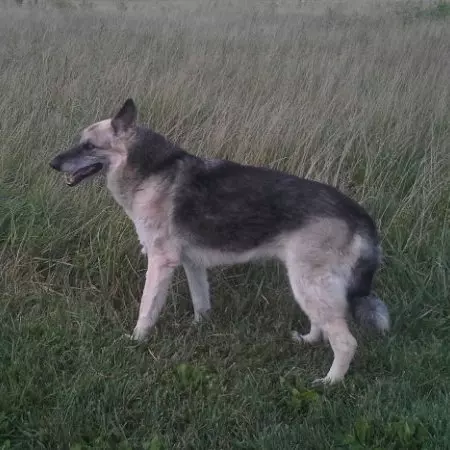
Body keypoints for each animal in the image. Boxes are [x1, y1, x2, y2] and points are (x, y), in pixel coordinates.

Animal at [47, 98, 388, 384]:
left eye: (89, 146)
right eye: (80, 142)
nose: (52, 164)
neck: (150, 170)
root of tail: (357, 212)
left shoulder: (160, 262)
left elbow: (147, 309)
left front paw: (137, 340)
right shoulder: (191, 264)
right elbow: (201, 302)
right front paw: (201, 328)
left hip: (309, 283)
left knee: (345, 342)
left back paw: (330, 382)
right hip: (307, 284)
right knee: (322, 324)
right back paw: (308, 341)